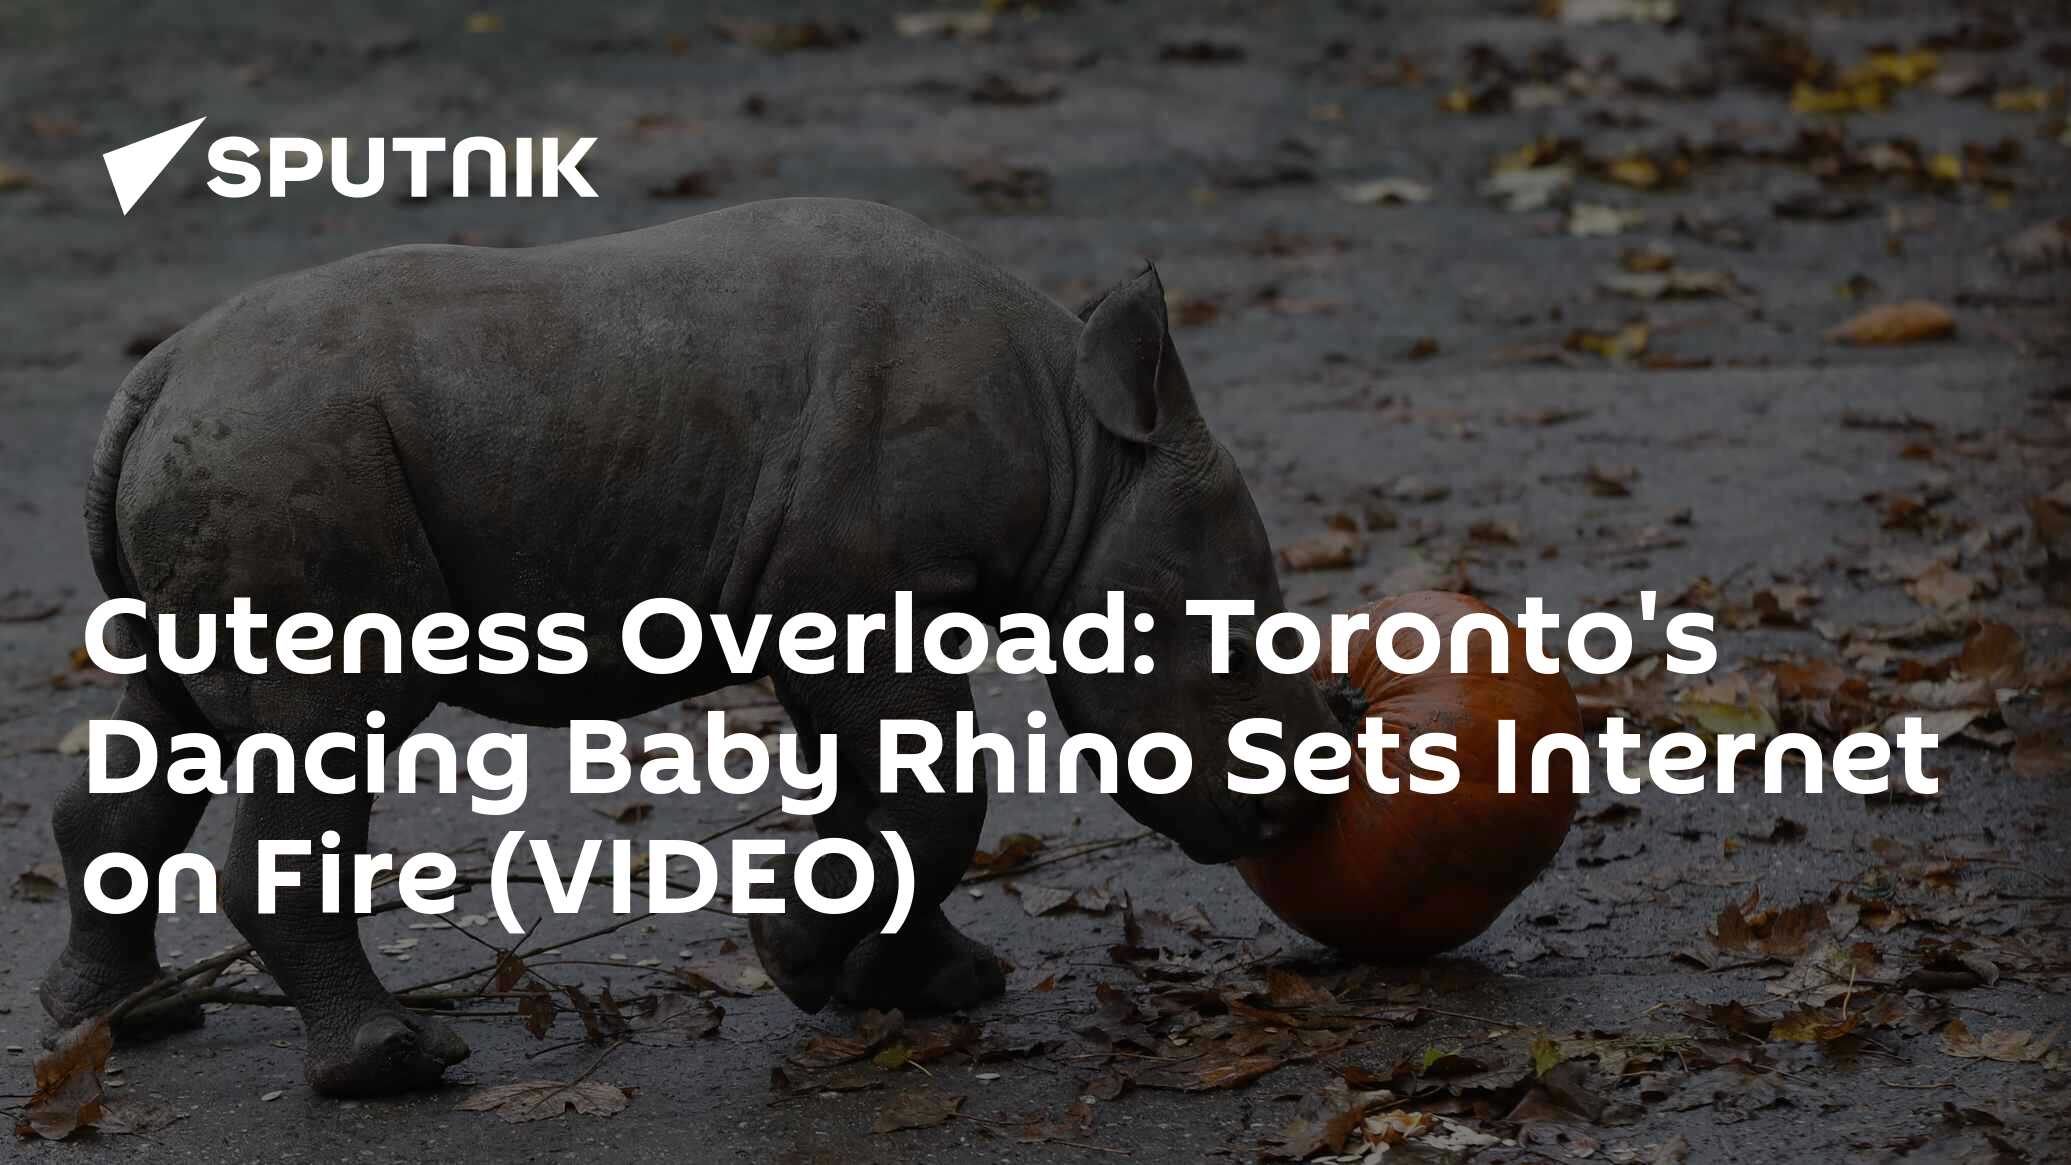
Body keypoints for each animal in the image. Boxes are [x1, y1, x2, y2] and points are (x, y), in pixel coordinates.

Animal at [43, 197, 1334, 1096]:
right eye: (1229, 646)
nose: (1295, 816)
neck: (1078, 451)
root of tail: (151, 379)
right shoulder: (860, 591)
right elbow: (933, 798)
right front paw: (802, 962)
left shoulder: (837, 598)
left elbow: (894, 795)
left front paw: (930, 986)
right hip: (288, 453)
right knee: (336, 718)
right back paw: (401, 1066)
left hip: (237, 451)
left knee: (172, 716)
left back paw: (126, 1019)